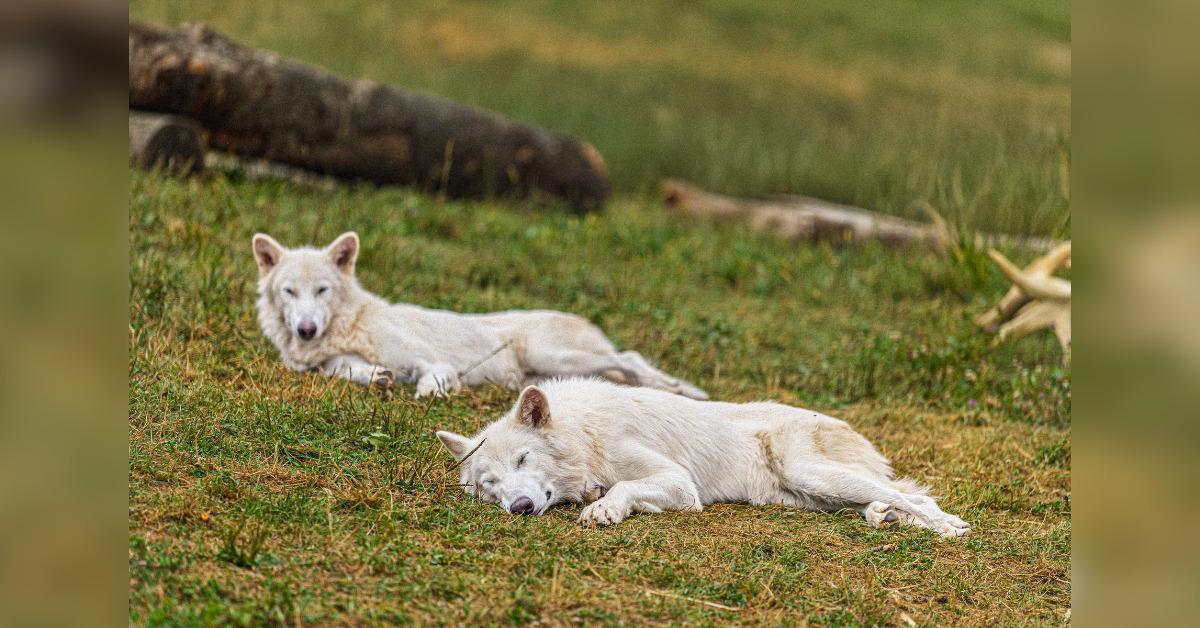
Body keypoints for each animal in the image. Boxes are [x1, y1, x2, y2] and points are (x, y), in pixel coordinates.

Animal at [252, 232, 707, 399]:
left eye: (322, 290)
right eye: (289, 291)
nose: (306, 330)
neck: (349, 324)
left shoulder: (424, 355)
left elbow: (431, 372)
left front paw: (434, 388)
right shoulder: (331, 363)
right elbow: (350, 371)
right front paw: (377, 377)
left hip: (553, 355)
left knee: (630, 357)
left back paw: (681, 390)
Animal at [436, 378, 970, 537]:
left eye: (524, 459)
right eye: (489, 486)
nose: (519, 508)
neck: (587, 433)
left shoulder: (679, 482)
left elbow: (623, 487)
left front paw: (604, 508)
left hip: (813, 474)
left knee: (915, 499)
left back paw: (948, 529)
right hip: (810, 494)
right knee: (895, 500)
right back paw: (884, 516)